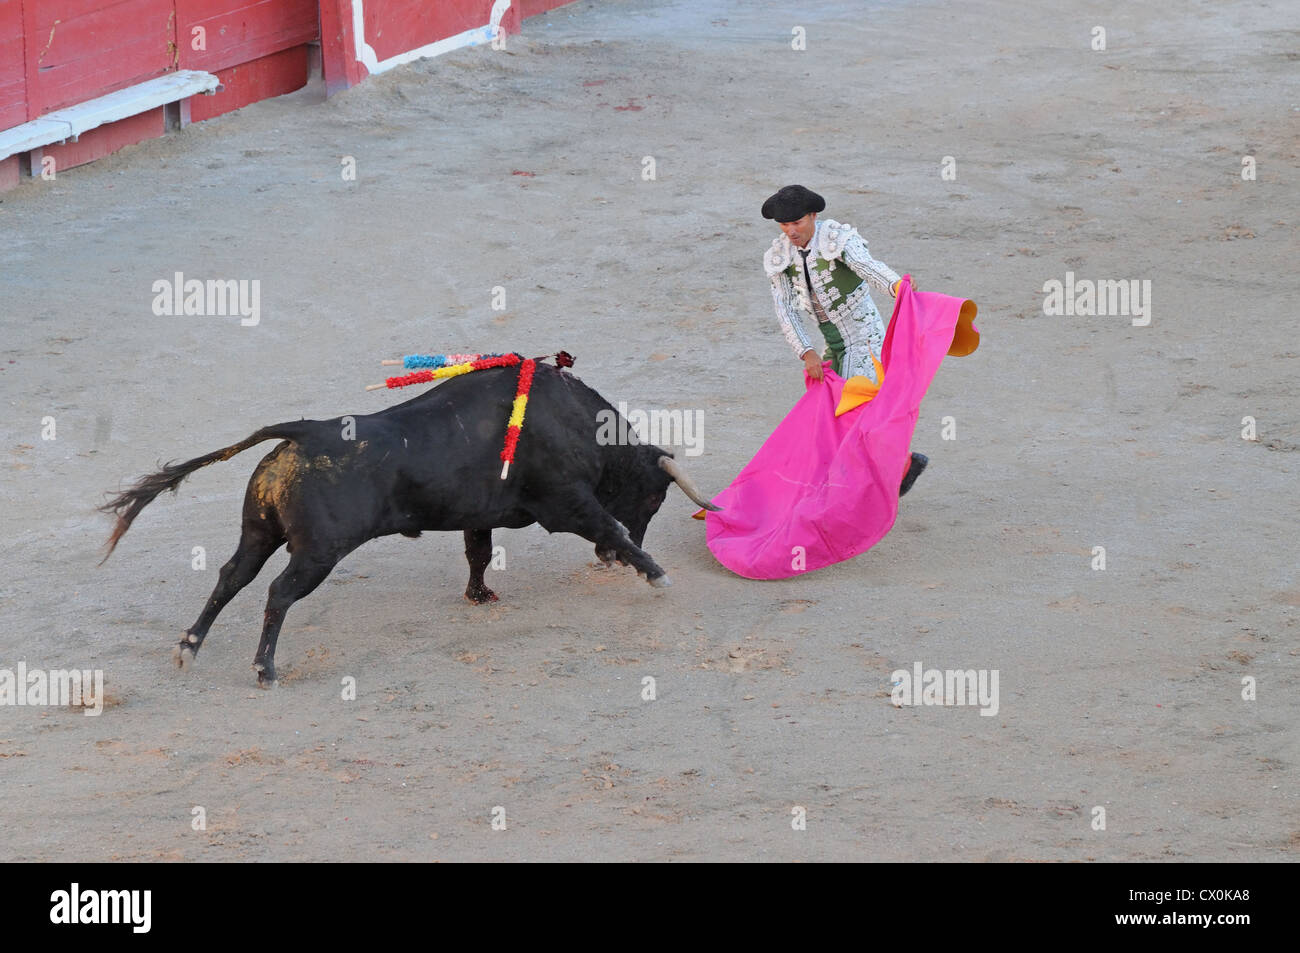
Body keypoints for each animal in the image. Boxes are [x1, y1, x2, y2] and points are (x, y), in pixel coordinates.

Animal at [100, 361, 719, 686]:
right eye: (654, 497)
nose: (607, 566)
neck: (577, 425)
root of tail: (303, 432)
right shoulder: (567, 504)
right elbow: (609, 527)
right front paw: (655, 573)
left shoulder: (479, 515)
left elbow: (477, 551)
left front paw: (480, 596)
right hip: (319, 553)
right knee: (277, 592)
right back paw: (265, 668)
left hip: (260, 532)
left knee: (232, 577)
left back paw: (189, 647)